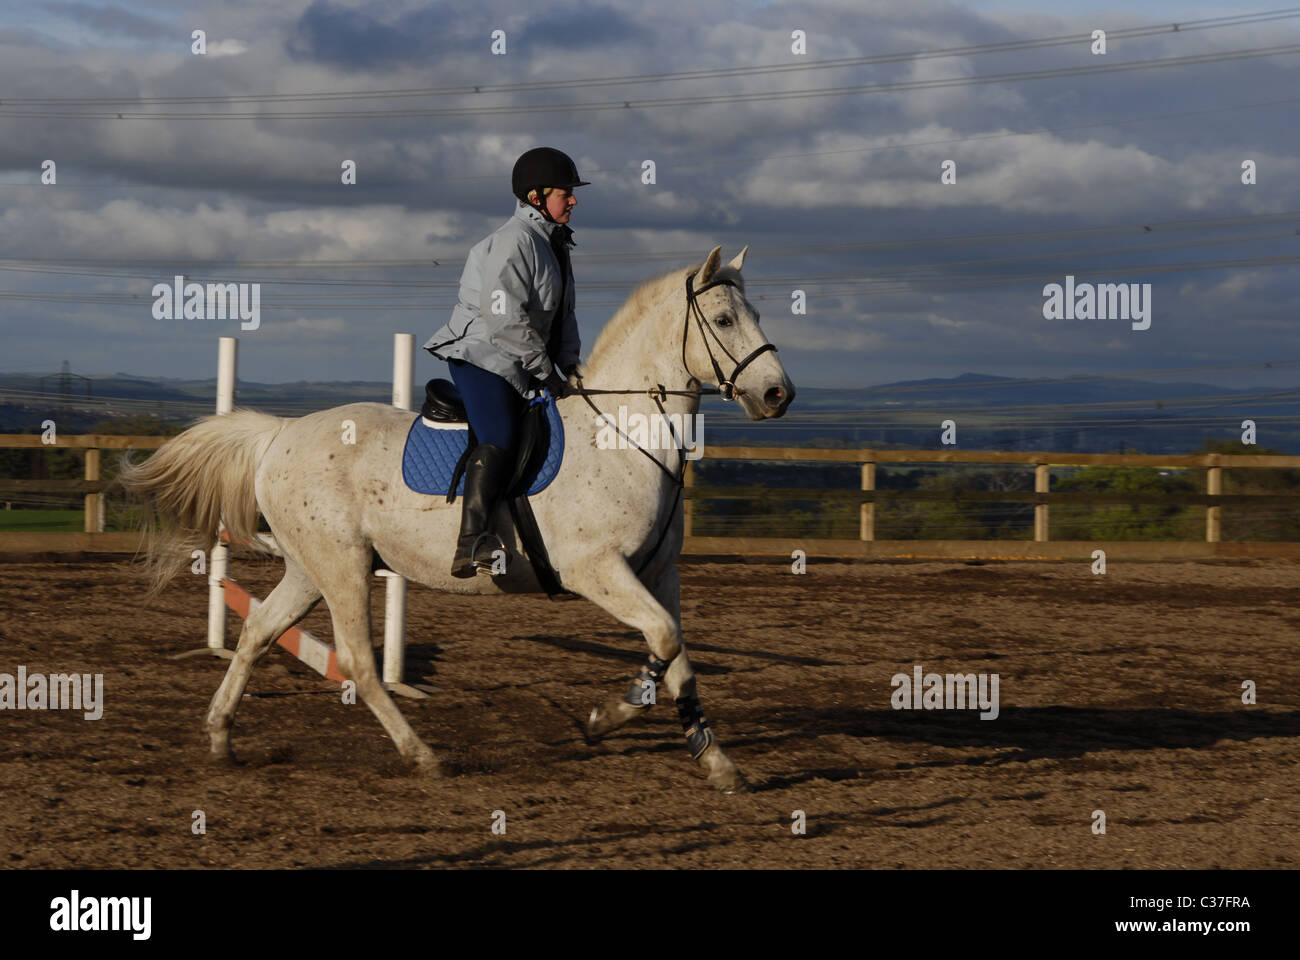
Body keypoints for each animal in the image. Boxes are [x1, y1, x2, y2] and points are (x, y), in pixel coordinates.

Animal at [119, 245, 795, 793]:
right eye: (726, 320)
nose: (778, 395)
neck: (624, 436)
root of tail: (281, 434)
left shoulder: (658, 576)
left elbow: (679, 656)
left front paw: (717, 763)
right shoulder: (599, 571)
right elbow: (663, 641)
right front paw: (607, 718)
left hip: (313, 569)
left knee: (259, 630)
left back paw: (220, 737)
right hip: (342, 568)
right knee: (358, 663)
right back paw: (424, 756)